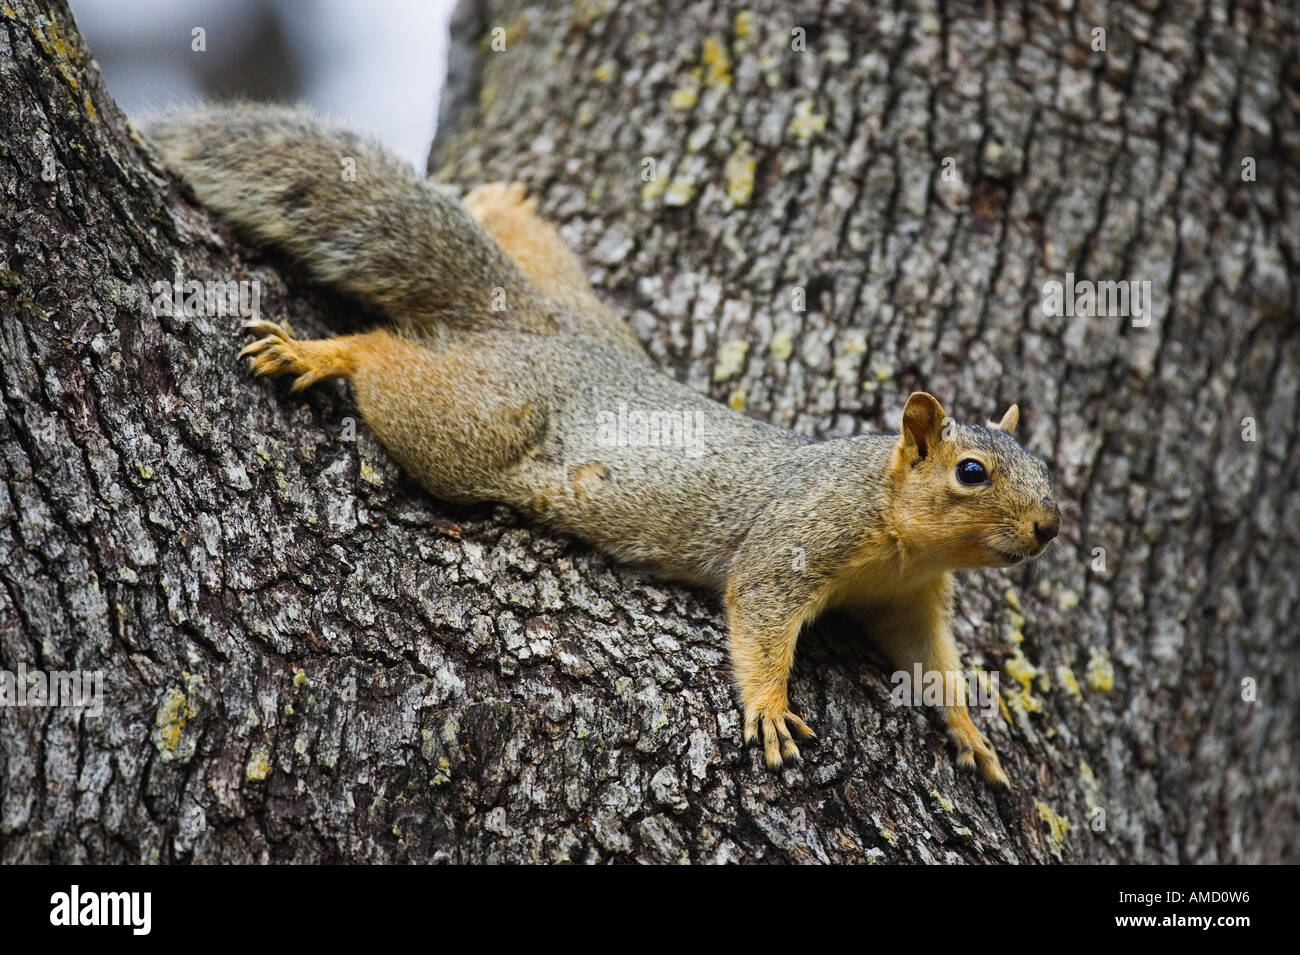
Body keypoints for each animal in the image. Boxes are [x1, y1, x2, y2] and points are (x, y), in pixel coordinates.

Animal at [146, 104, 1061, 785]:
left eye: (1046, 472)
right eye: (971, 472)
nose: (1049, 527)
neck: (896, 522)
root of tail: (532, 332)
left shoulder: (906, 597)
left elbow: (931, 664)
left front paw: (969, 727)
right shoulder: (802, 535)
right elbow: (761, 612)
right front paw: (768, 707)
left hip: (584, 320)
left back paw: (507, 210)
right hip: (474, 426)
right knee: (385, 364)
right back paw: (324, 352)